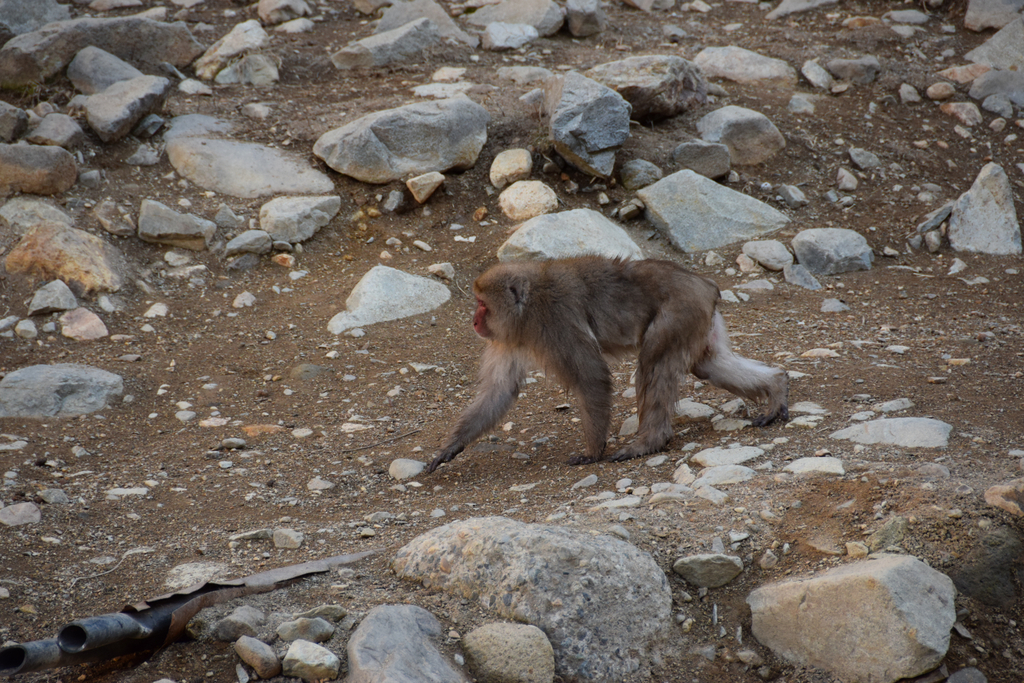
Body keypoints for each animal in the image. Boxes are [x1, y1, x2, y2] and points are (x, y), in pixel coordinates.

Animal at [426, 256, 789, 473]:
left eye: (482, 305)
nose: (474, 322)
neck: (527, 309)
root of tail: (704, 284)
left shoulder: (557, 323)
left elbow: (592, 376)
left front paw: (593, 451)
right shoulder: (508, 339)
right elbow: (499, 391)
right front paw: (450, 448)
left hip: (680, 313)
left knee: (654, 362)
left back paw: (649, 441)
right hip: (700, 321)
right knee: (709, 365)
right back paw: (776, 386)